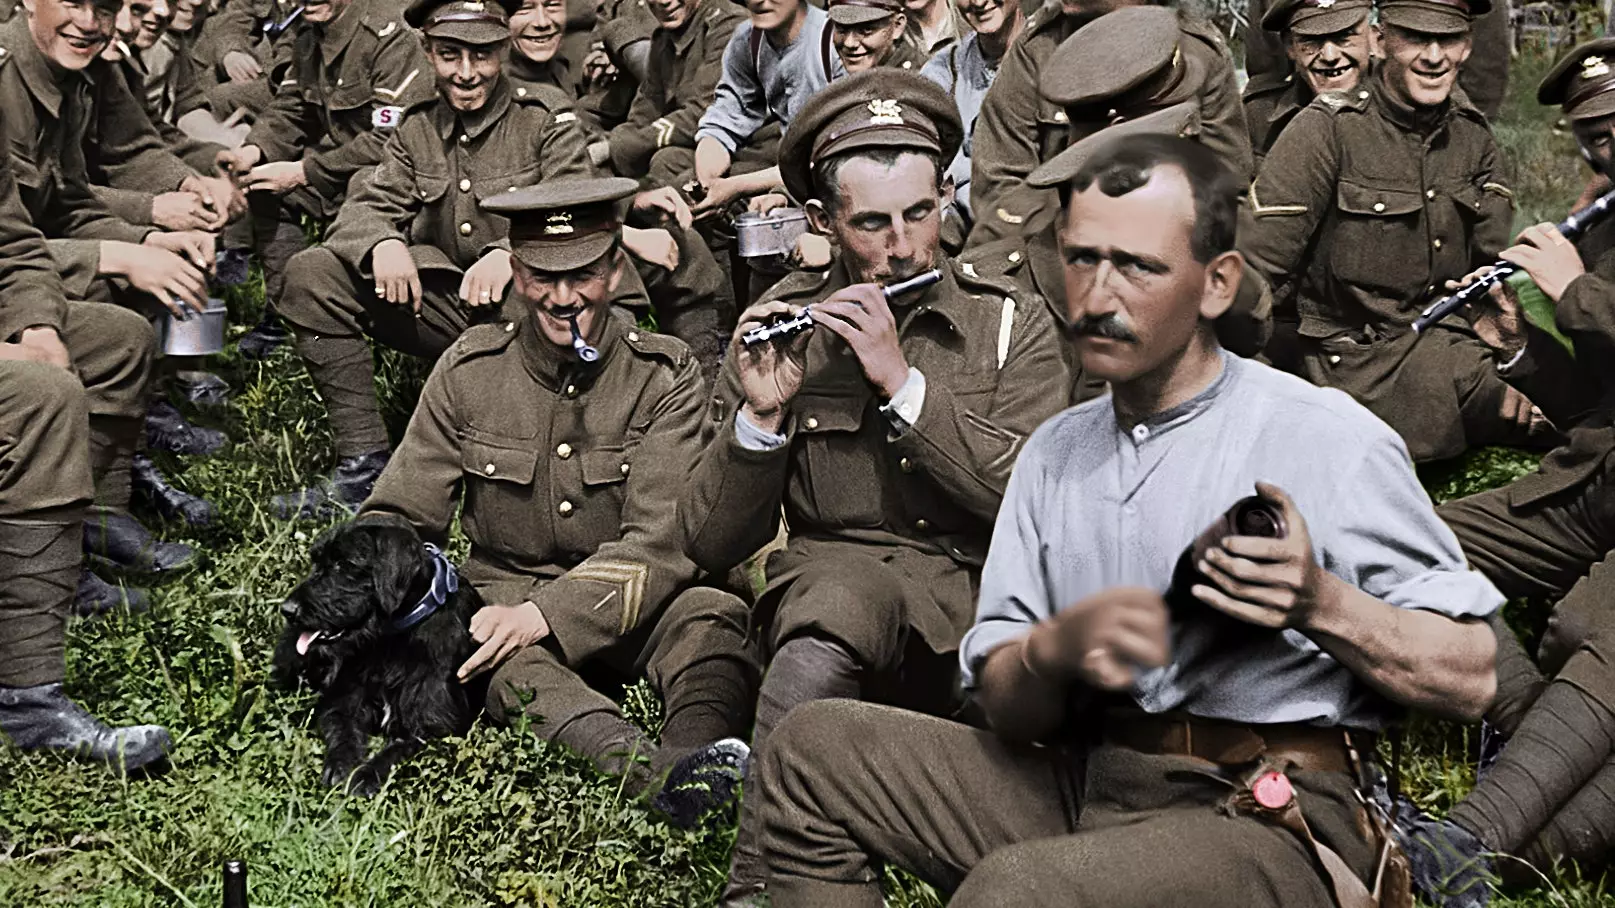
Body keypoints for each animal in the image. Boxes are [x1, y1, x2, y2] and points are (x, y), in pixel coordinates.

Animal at [274, 517, 484, 791]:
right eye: (317, 561)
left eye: (344, 564)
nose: (287, 610)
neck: (390, 641)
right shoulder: (342, 702)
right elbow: (342, 732)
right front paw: (340, 766)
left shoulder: (436, 726)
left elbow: (397, 751)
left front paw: (365, 775)